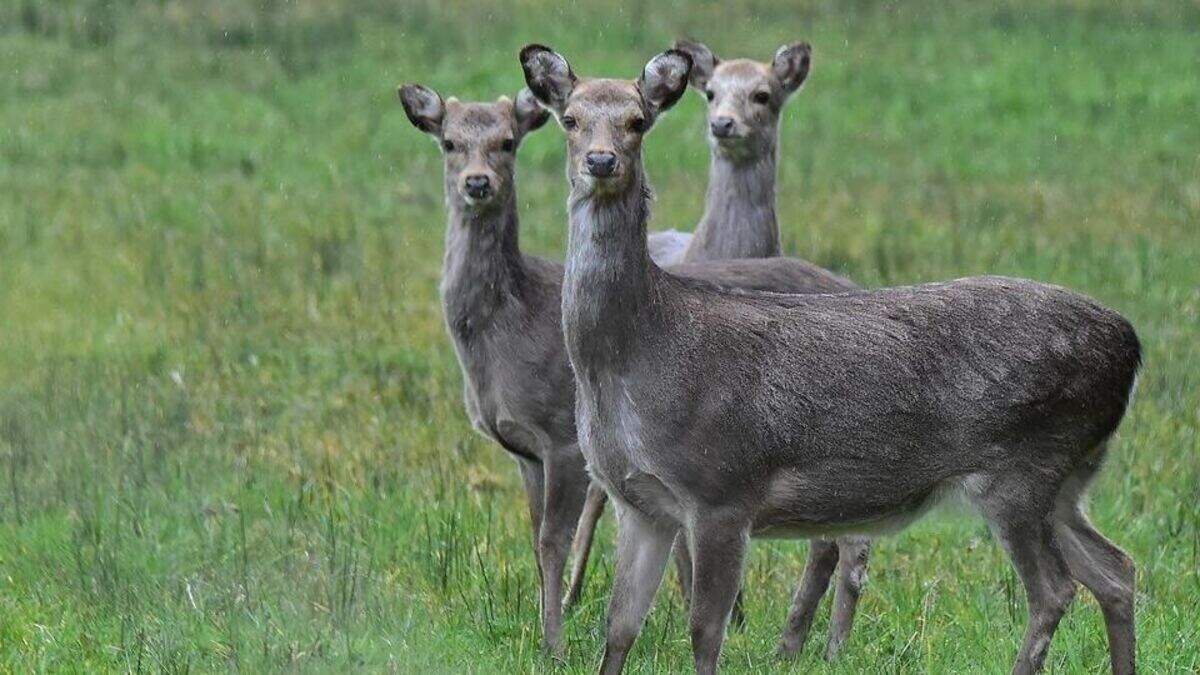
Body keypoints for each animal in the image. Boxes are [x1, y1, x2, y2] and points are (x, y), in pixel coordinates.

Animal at [397, 84, 860, 658]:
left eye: (507, 142)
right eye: (450, 143)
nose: (477, 183)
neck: (506, 331)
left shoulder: (562, 435)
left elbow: (554, 540)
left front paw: (554, 645)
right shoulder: (525, 452)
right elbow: (536, 535)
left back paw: (823, 647)